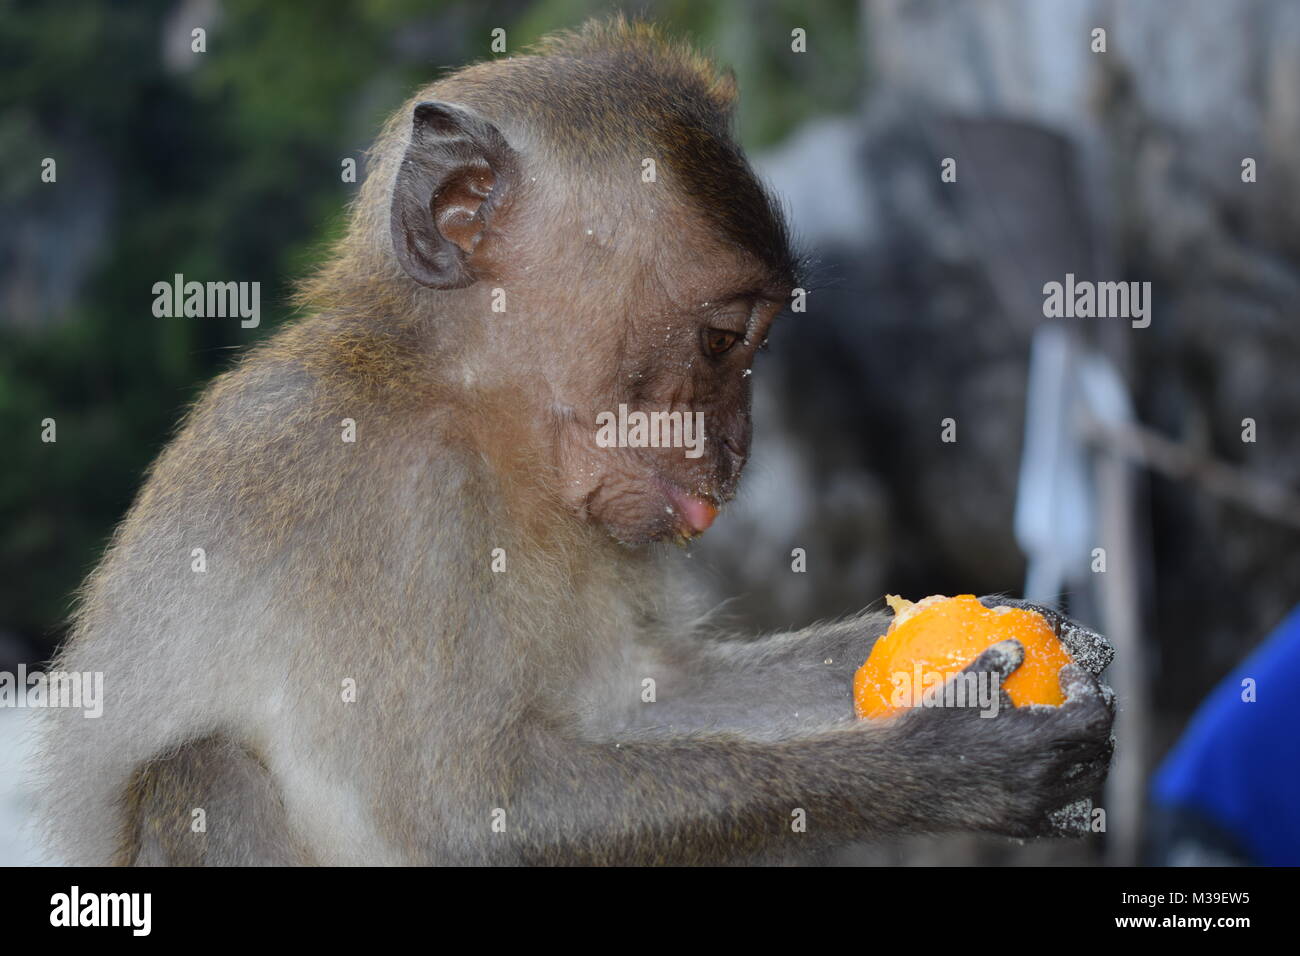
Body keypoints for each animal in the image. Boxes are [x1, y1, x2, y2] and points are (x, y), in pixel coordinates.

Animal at [35, 17, 1115, 866]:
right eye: (722, 339)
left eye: (759, 345)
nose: (738, 443)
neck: (480, 418)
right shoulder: (396, 498)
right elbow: (465, 815)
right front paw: (948, 760)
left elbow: (644, 705)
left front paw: (1019, 629)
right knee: (203, 770)